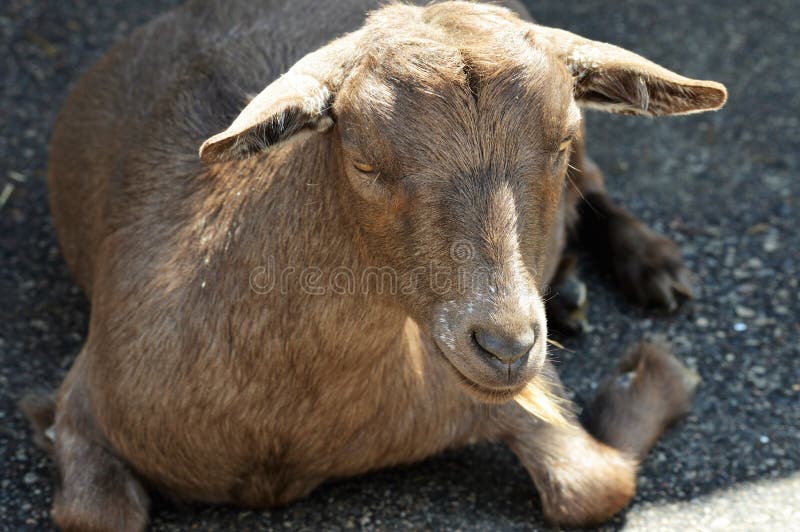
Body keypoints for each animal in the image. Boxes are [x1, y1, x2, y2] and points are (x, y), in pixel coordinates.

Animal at [26, 1, 726, 529]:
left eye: (557, 142)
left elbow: (594, 486)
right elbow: (95, 515)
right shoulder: (84, 405)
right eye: (364, 161)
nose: (506, 346)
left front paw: (651, 376)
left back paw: (652, 268)